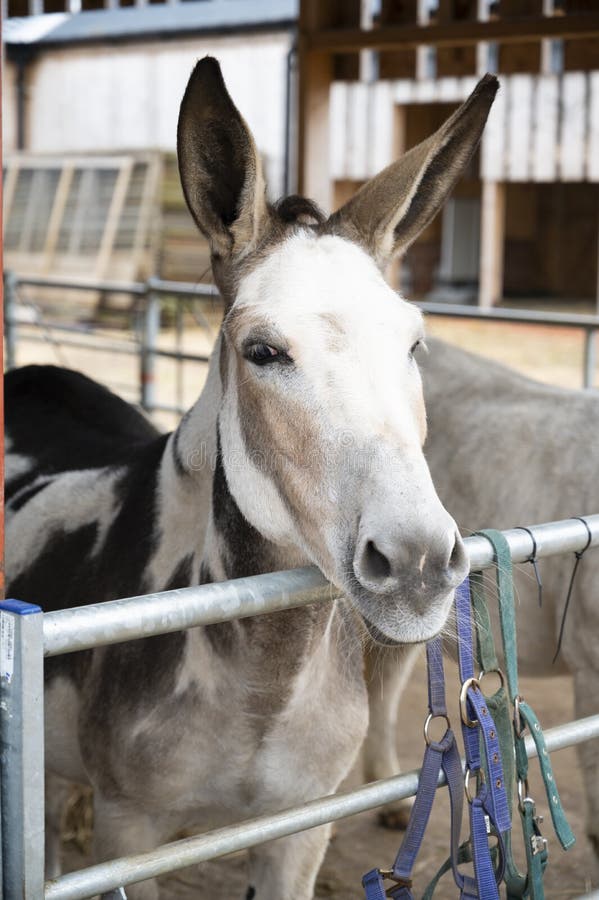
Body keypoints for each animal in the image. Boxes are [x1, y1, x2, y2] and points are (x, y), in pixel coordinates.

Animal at [5, 59, 497, 899]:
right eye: (262, 352)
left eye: (414, 345)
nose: (419, 568)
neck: (264, 678)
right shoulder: (130, 836)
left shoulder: (301, 827)